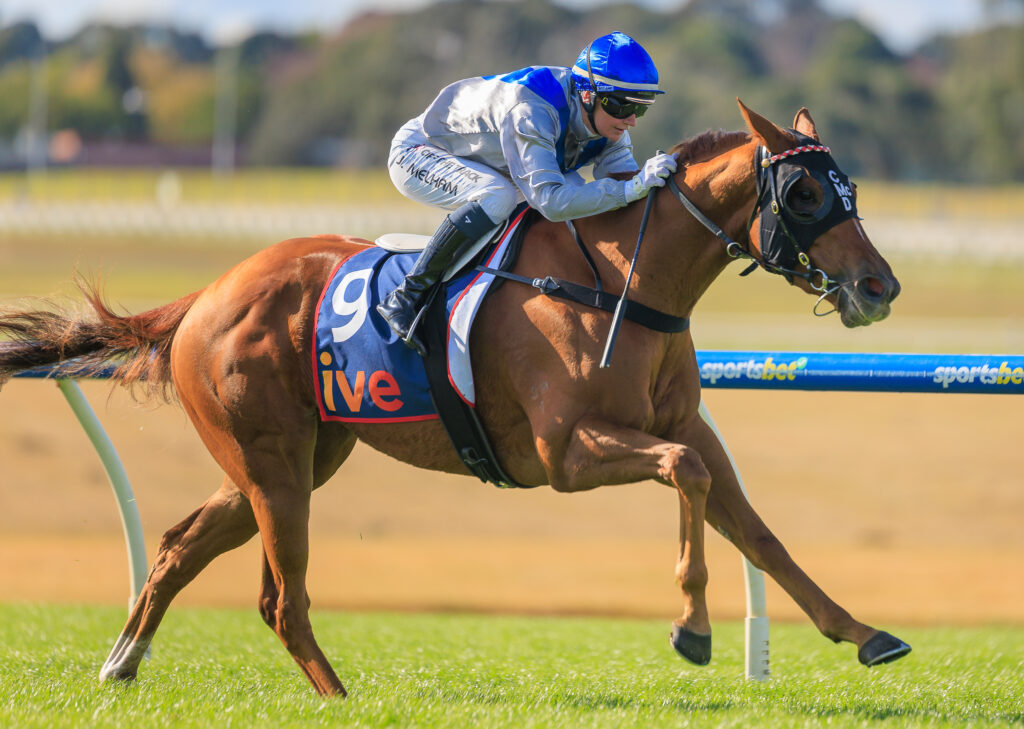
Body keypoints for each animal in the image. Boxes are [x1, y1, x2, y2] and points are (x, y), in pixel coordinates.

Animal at [0, 101, 905, 697]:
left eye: (851, 190)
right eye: (804, 195)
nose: (879, 286)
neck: (623, 280)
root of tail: (203, 297)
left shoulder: (683, 424)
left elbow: (755, 526)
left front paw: (863, 633)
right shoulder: (566, 451)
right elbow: (685, 471)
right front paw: (692, 626)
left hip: (294, 458)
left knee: (182, 545)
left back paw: (122, 660)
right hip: (273, 465)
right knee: (281, 596)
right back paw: (337, 694)